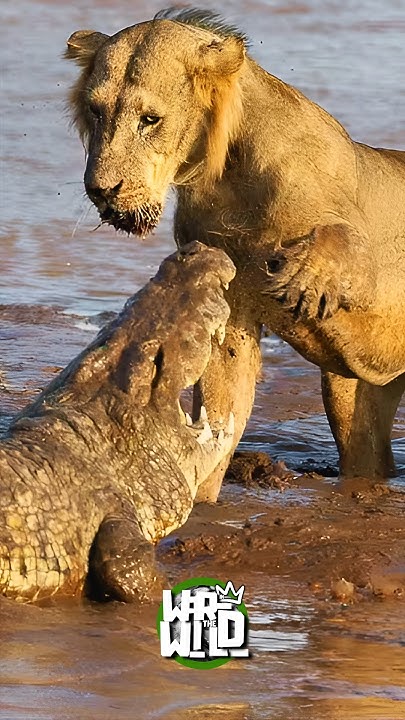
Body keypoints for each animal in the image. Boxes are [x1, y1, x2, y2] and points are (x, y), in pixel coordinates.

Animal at [65, 7, 405, 500]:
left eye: (149, 119)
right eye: (95, 111)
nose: (101, 190)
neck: (230, 177)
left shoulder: (378, 272)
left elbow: (343, 242)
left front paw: (302, 278)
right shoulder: (230, 303)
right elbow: (222, 408)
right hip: (351, 399)